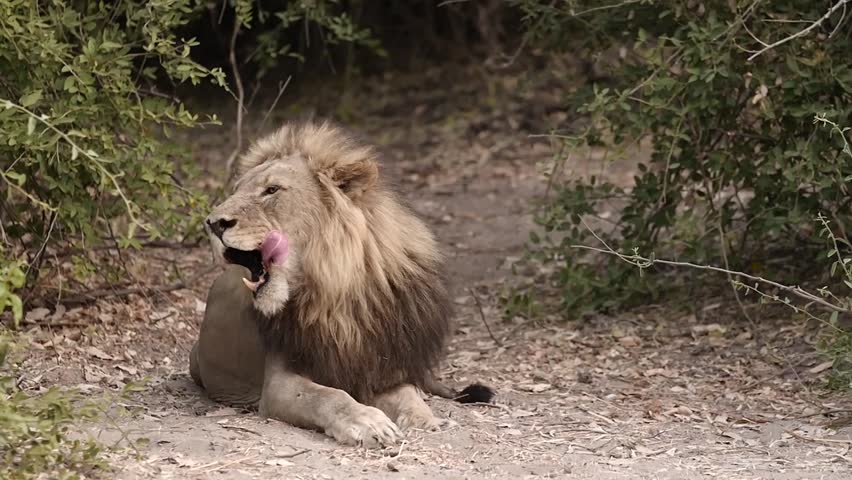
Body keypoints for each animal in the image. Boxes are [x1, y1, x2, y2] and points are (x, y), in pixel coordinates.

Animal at [189, 120, 494, 448]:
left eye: (271, 190)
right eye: (236, 190)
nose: (212, 223)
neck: (336, 292)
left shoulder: (380, 367)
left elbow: (409, 395)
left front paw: (427, 420)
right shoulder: (279, 383)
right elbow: (328, 396)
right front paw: (369, 422)